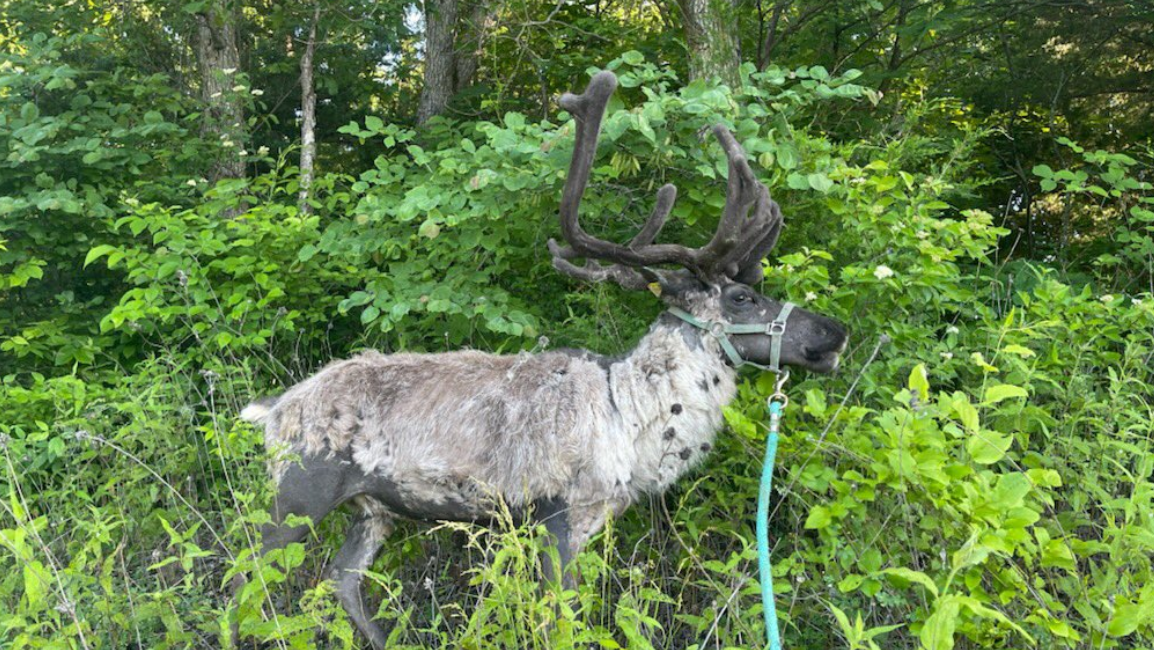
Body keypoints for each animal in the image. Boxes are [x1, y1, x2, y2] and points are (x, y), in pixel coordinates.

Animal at [237, 70, 848, 648]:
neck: (633, 415)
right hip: (296, 494)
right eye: (741, 297)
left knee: (342, 580)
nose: (836, 332)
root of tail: (272, 409)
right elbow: (562, 618)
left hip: (373, 508)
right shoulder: (560, 516)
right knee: (246, 580)